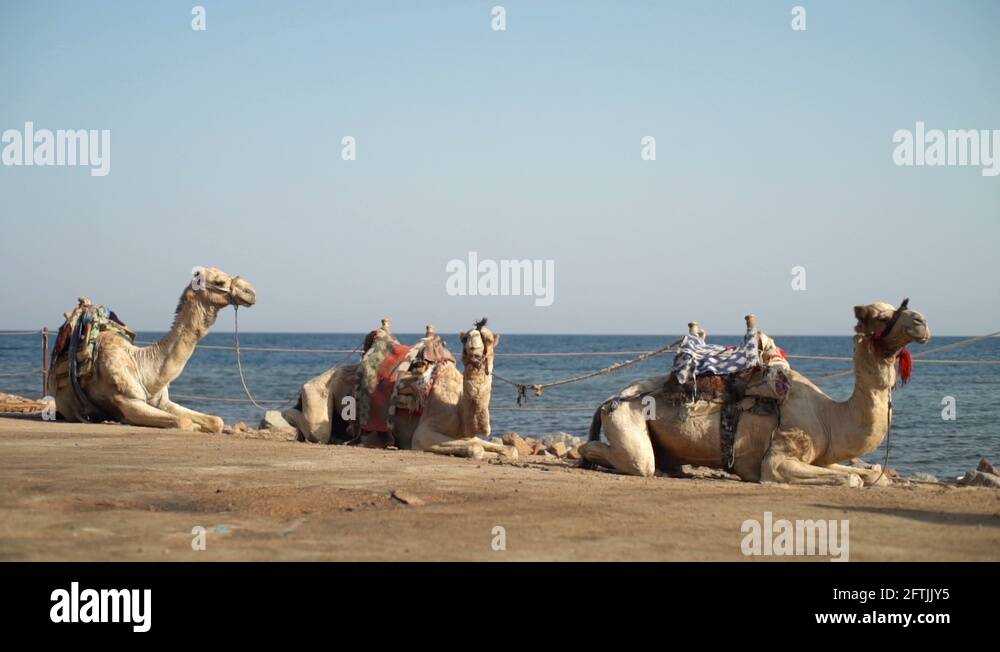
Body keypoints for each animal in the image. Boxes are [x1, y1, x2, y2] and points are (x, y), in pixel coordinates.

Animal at [47, 267, 256, 432]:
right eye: (219, 281)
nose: (251, 292)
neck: (143, 365)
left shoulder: (161, 401)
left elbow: (216, 421)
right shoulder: (129, 401)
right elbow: (184, 422)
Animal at [284, 319, 517, 459]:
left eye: (487, 338)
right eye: (466, 338)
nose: (473, 350)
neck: (458, 407)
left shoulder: (464, 433)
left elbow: (507, 449)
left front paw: (501, 453)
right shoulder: (423, 434)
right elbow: (475, 449)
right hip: (317, 394)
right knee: (315, 429)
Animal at [580, 300, 930, 487]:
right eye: (881, 316)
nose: (922, 321)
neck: (829, 416)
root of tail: (608, 401)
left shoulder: (820, 457)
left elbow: (872, 474)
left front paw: (874, 475)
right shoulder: (777, 458)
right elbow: (851, 479)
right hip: (625, 419)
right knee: (633, 459)